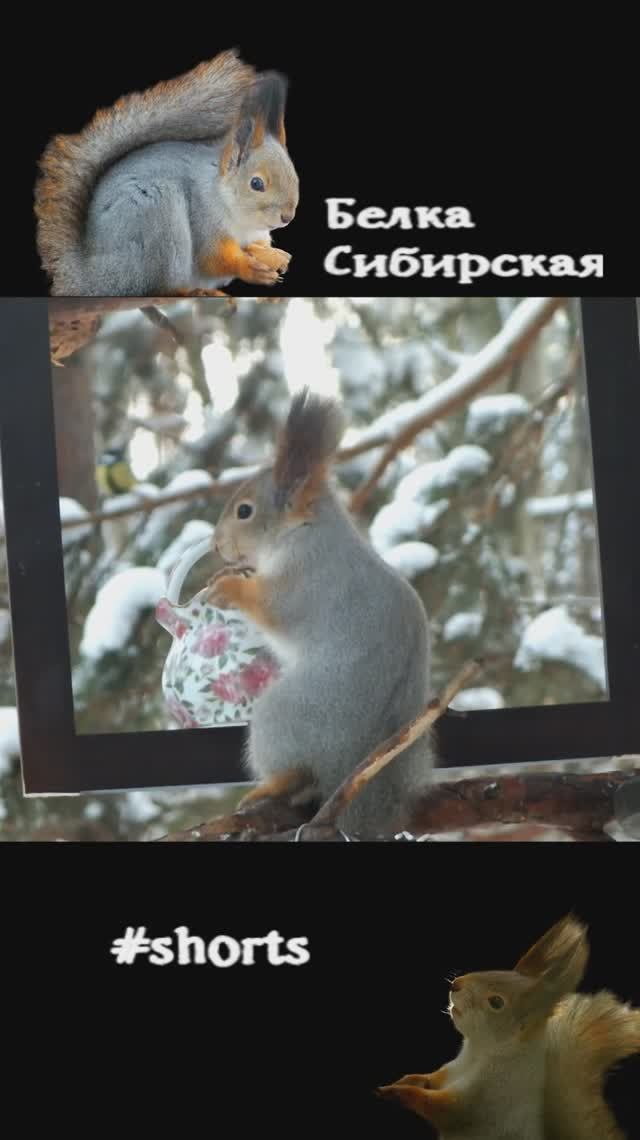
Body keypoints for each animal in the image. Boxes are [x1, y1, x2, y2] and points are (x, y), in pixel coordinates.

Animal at [34, 49, 299, 297]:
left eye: (295, 177)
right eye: (256, 183)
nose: (287, 217)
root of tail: (92, 276)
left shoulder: (255, 234)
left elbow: (255, 246)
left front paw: (272, 255)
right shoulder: (204, 218)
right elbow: (213, 259)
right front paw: (252, 269)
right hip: (158, 216)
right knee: (159, 287)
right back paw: (194, 291)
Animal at [207, 387, 434, 838]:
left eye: (245, 511)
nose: (217, 544)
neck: (304, 531)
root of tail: (352, 761)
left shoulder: (305, 579)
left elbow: (272, 608)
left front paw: (226, 587)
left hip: (282, 717)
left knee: (300, 771)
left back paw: (269, 787)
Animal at [377, 914, 640, 1140]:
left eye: (496, 1002)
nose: (455, 984)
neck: (478, 1051)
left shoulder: (486, 1098)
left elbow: (445, 1110)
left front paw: (398, 1093)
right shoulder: (452, 1070)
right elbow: (431, 1079)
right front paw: (406, 1079)